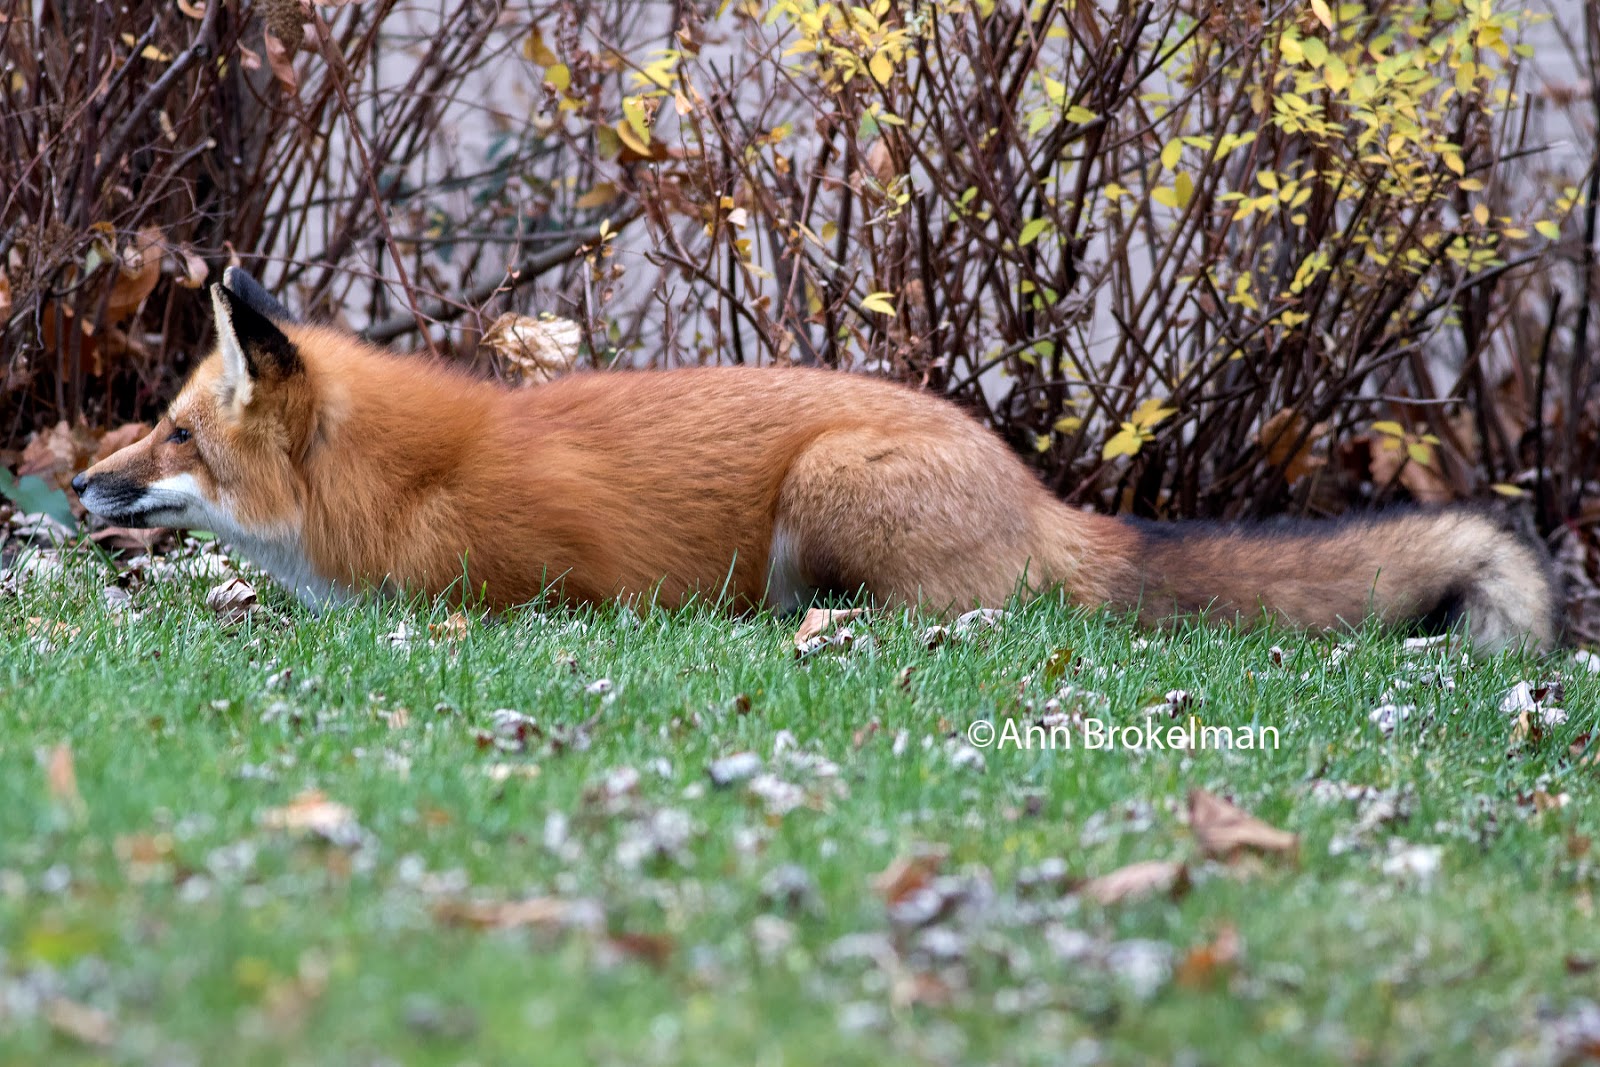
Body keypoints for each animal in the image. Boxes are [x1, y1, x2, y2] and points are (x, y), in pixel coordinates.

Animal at [72, 268, 1560, 652]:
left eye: (177, 432)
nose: (80, 480)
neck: (396, 477)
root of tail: (1039, 490)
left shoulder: (509, 590)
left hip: (830, 485)